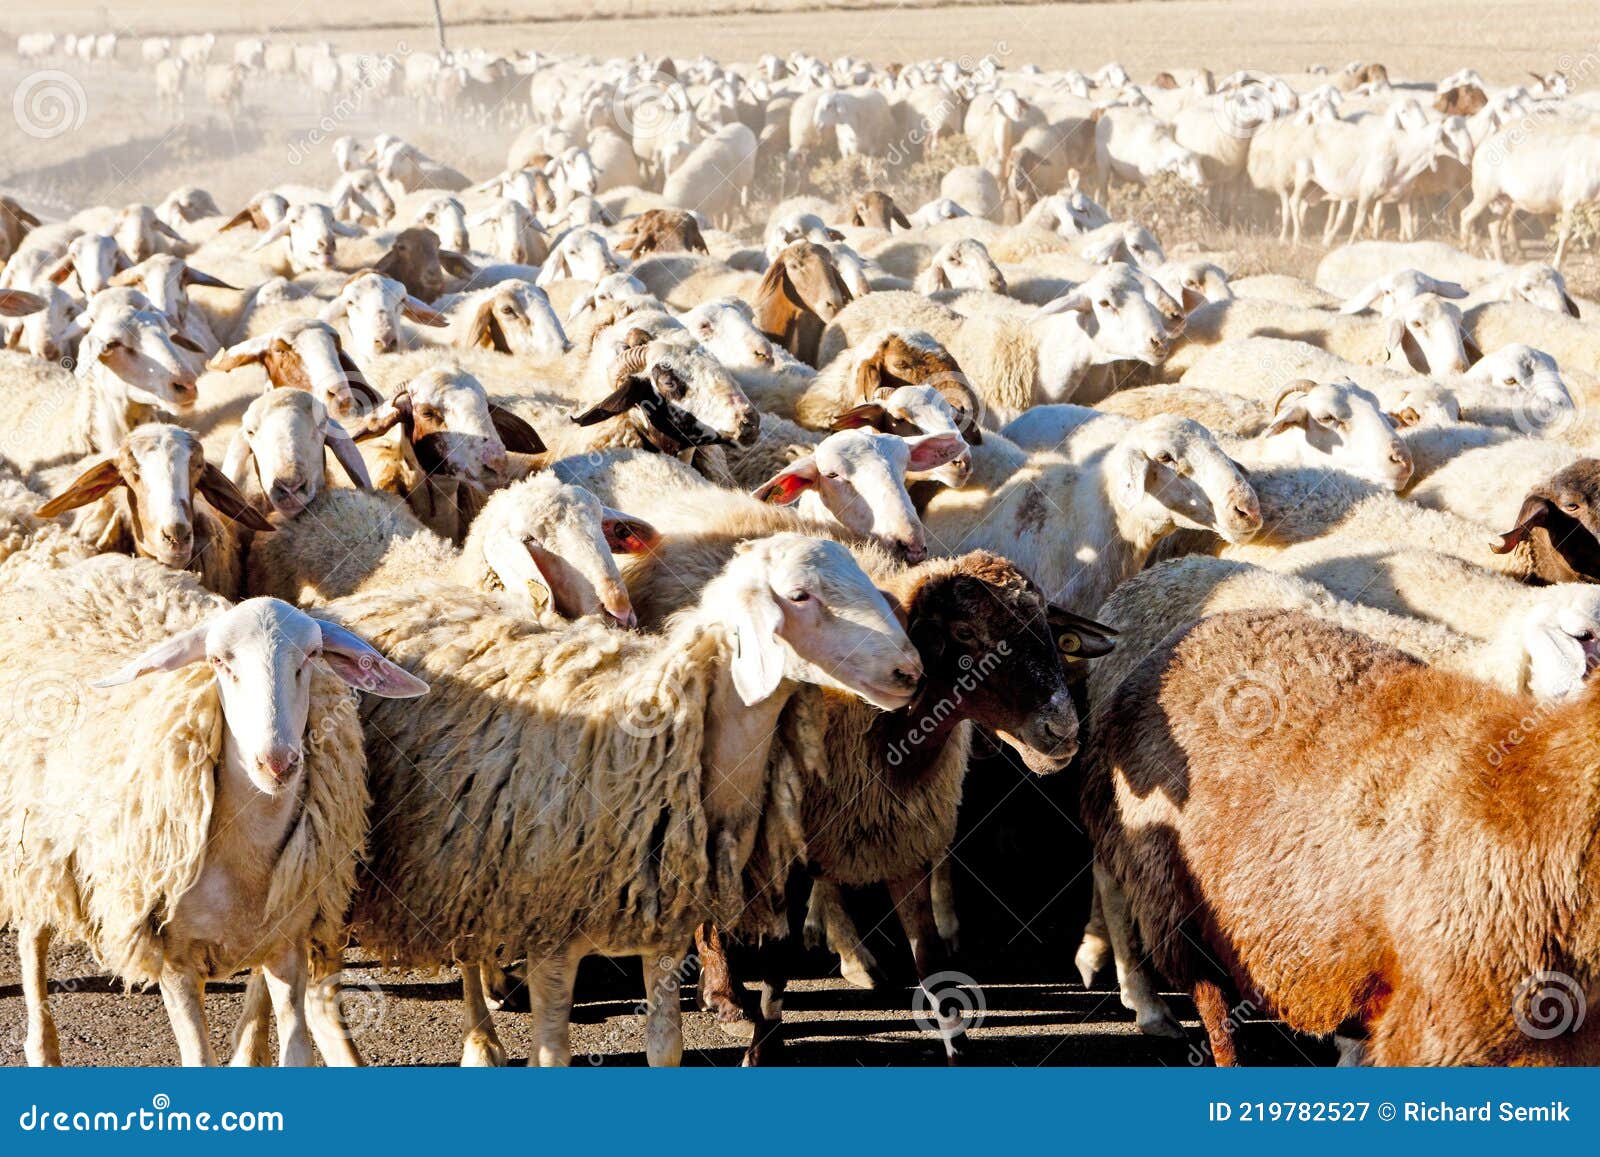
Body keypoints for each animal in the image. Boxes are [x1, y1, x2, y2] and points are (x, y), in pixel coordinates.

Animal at [0, 553, 424, 1066]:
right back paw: (42, 1047)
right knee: (32, 939)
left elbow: (296, 1049)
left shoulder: (287, 943)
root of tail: (88, 566)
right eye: (219, 662)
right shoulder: (173, 959)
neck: (244, 851)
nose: (276, 762)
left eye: (310, 657)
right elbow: (197, 1058)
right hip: (32, 845)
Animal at [296, 532, 920, 1067]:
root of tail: (352, 607)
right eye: (799, 595)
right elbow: (552, 1057)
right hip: (335, 861)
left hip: (462, 857)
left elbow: (665, 1048)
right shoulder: (551, 931)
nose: (910, 671)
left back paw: (483, 1042)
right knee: (317, 995)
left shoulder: (664, 928)